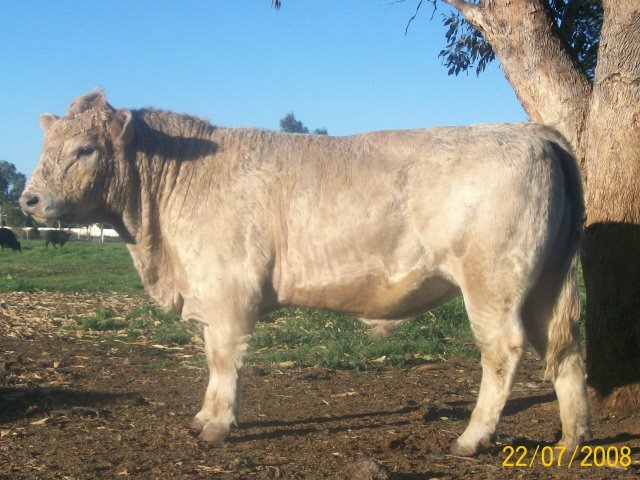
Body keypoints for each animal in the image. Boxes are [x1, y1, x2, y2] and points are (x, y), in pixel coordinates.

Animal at [20, 91, 590, 456]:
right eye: (46, 148)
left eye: (85, 148)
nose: (29, 199)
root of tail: (527, 130)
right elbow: (209, 357)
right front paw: (203, 416)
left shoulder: (229, 292)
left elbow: (224, 360)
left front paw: (217, 426)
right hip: (545, 281)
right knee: (565, 347)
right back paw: (571, 439)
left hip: (492, 281)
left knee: (503, 352)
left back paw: (473, 439)